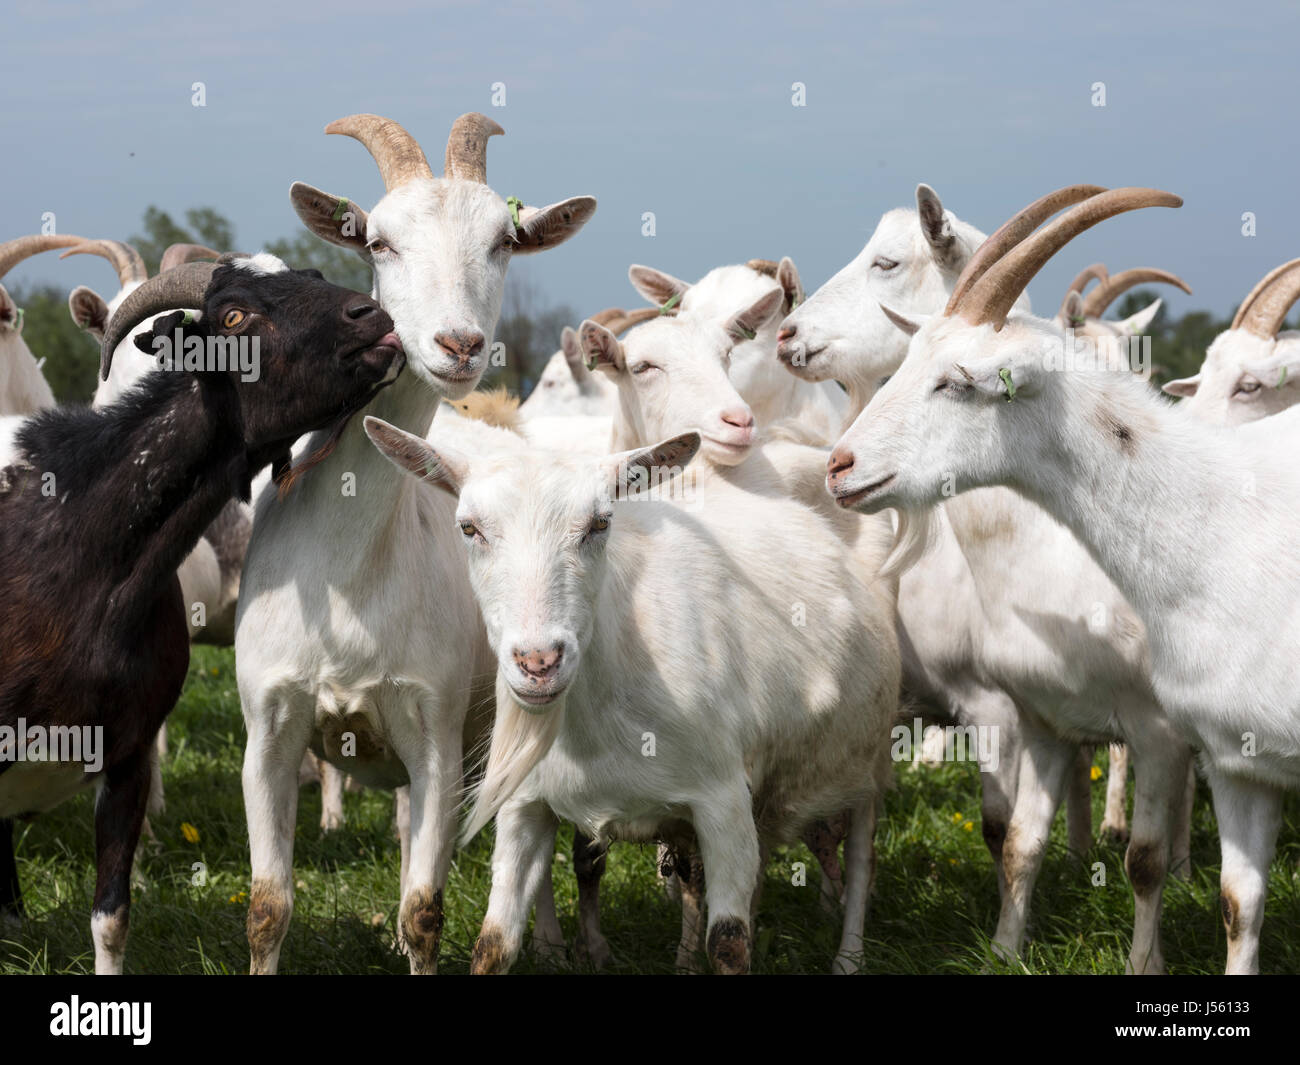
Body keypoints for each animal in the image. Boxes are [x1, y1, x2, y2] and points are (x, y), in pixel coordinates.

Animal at [234, 112, 594, 974]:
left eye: (504, 240)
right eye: (379, 242)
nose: (458, 344)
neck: (347, 576)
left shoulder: (434, 732)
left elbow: (426, 907)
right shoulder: (268, 728)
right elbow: (268, 907)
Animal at [829, 184, 1300, 975]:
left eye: (955, 382)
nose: (838, 465)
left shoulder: (1157, 729)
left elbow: (1141, 859)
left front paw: (1145, 961)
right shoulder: (1058, 719)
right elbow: (1025, 843)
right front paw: (1003, 950)